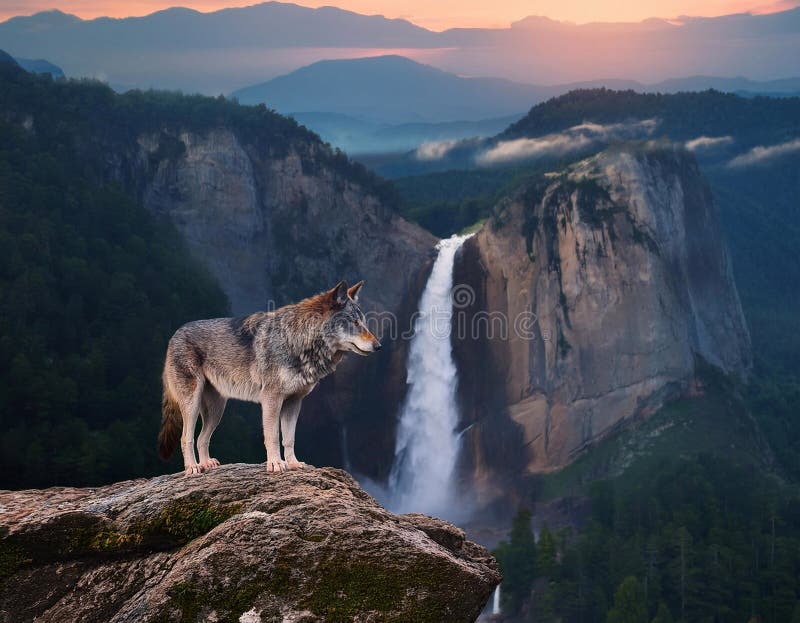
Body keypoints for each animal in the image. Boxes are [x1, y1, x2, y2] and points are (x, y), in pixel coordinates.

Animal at [157, 280, 380, 475]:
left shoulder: (294, 402)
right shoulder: (271, 399)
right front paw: (275, 464)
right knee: (186, 438)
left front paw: (293, 463)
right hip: (192, 404)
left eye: (364, 323)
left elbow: (289, 439)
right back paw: (192, 468)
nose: (378, 346)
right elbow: (273, 436)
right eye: (354, 322)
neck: (298, 339)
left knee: (202, 438)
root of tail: (174, 335)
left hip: (216, 410)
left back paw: (206, 464)